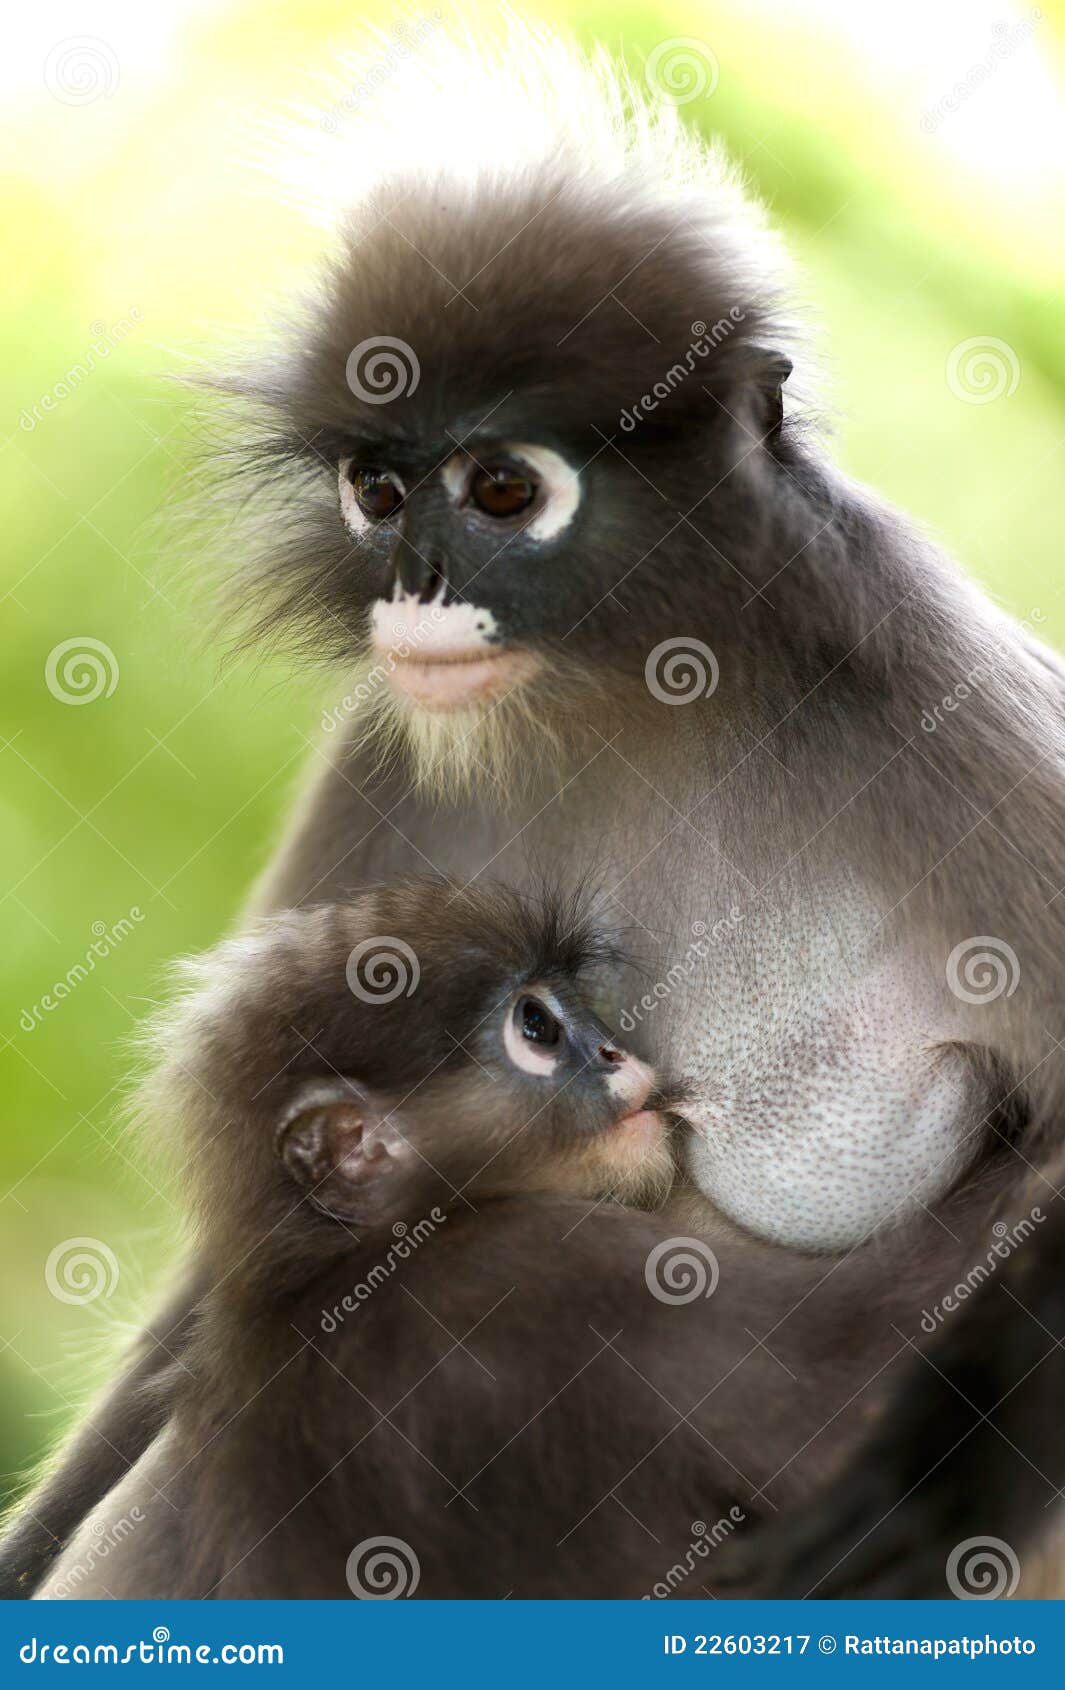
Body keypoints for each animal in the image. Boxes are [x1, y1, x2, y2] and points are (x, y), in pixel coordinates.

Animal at [6, 17, 1065, 1596]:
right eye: (377, 490)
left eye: (502, 487)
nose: (415, 591)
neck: (653, 687)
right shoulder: (391, 745)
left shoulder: (954, 705)